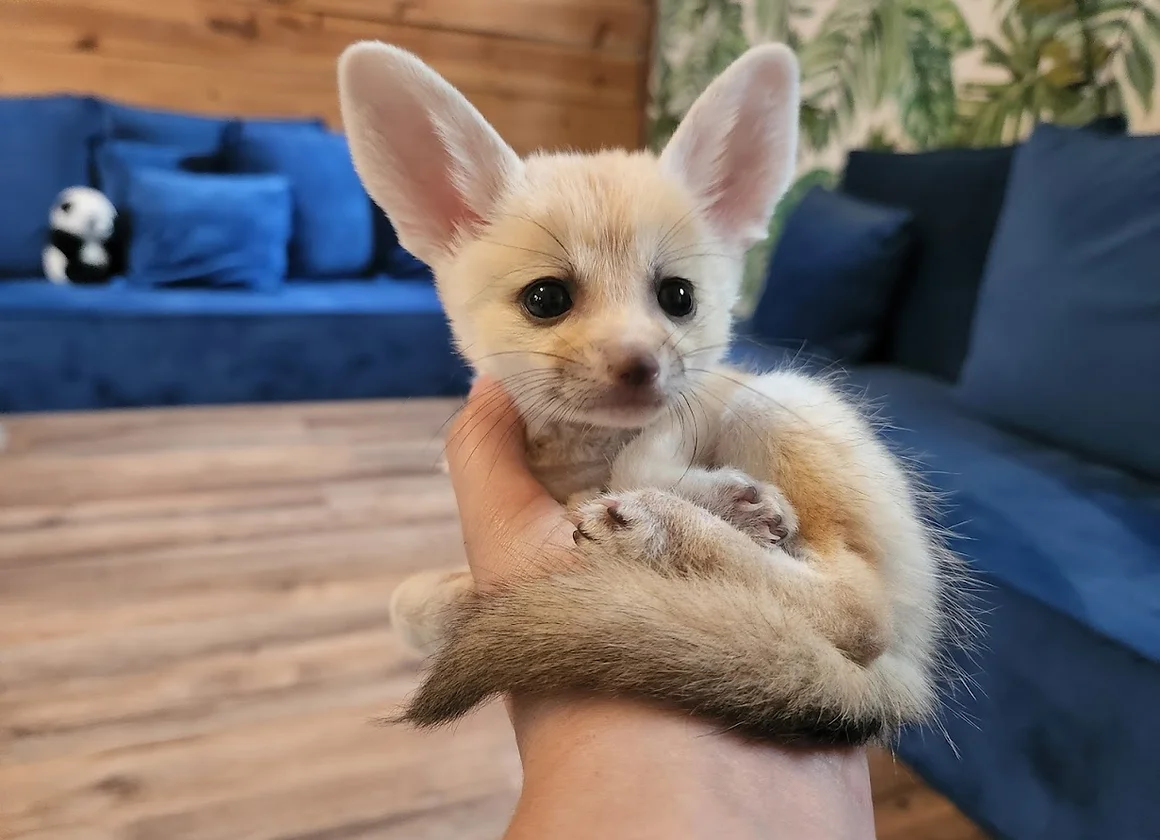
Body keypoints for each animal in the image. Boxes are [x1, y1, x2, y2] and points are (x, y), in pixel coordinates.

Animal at [338, 41, 969, 744]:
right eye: (546, 298)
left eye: (678, 297)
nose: (639, 365)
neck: (581, 461)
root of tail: (911, 681)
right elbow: (409, 607)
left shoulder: (707, 398)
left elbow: (642, 457)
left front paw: (710, 501)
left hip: (772, 402)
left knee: (860, 611)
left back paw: (664, 530)